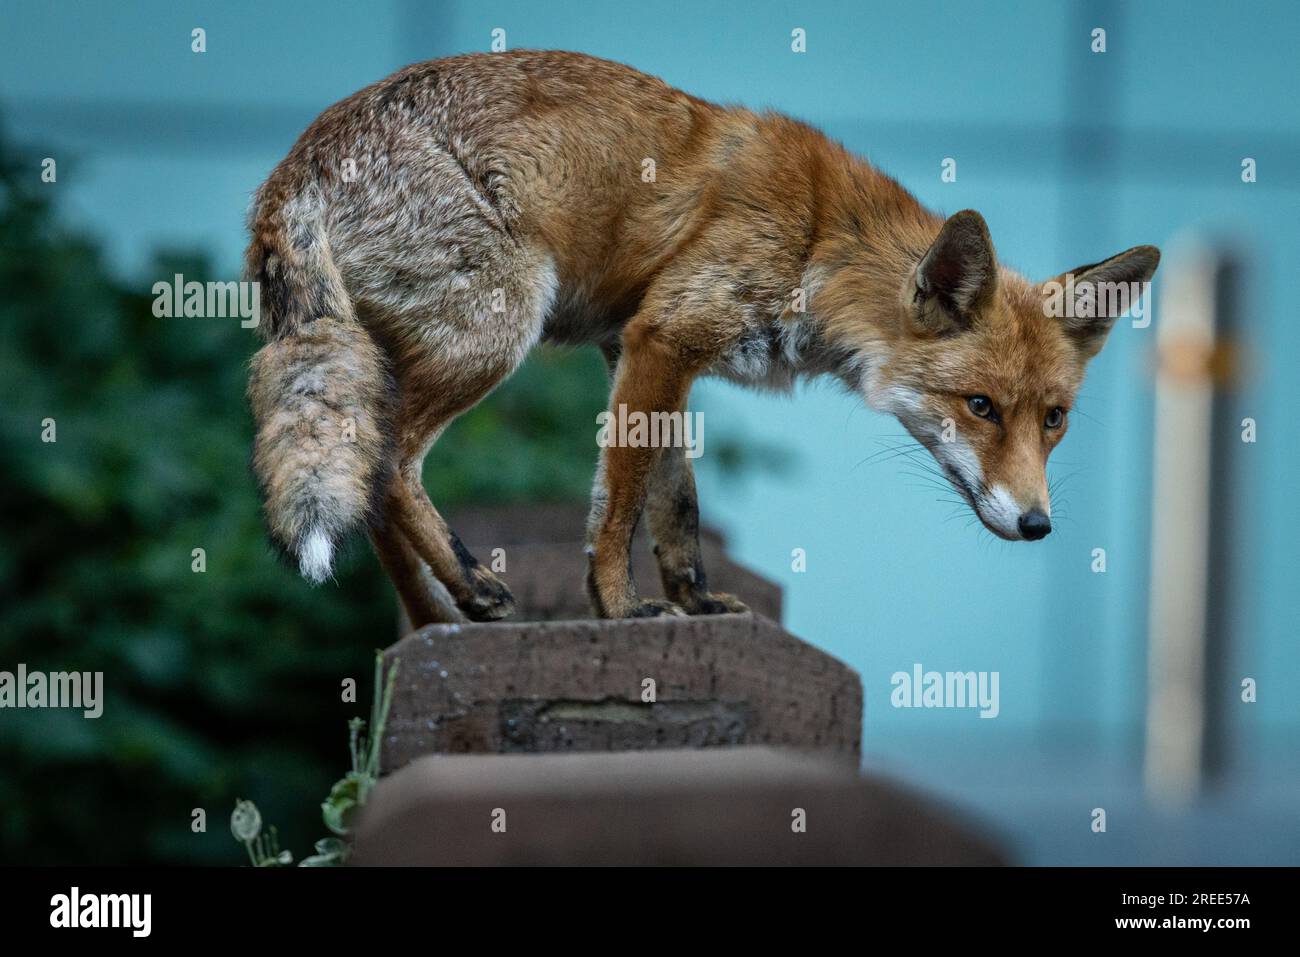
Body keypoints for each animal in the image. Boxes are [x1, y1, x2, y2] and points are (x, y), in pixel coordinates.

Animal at [246, 50, 1158, 626]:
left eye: (1053, 419)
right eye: (979, 406)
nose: (1038, 526)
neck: (821, 242)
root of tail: (293, 166)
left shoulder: (639, 349)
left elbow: (673, 505)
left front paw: (692, 603)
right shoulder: (666, 334)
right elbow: (618, 507)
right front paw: (616, 608)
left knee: (368, 490)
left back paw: (439, 616)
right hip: (496, 331)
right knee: (390, 463)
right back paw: (471, 586)